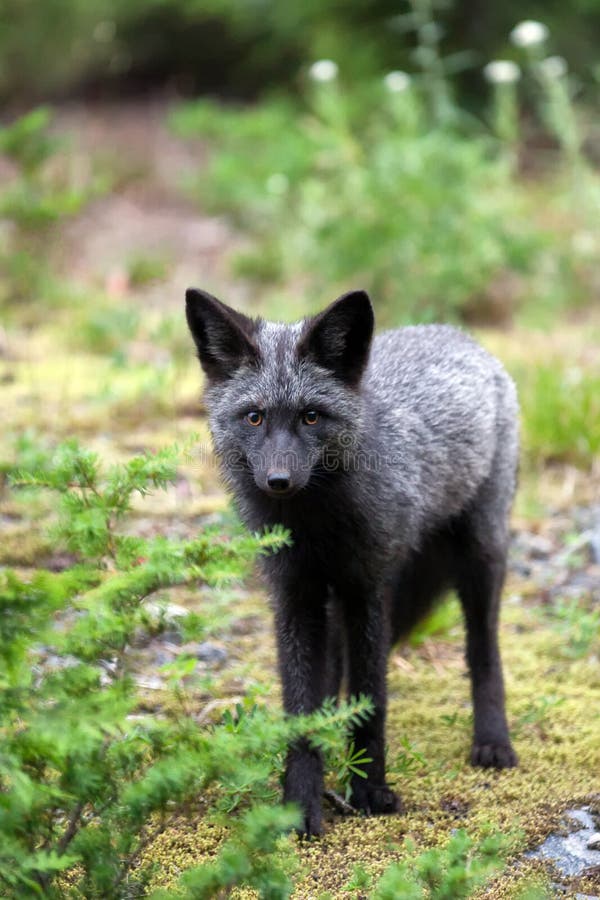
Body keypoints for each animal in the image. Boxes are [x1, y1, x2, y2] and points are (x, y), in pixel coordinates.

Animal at [185, 287, 519, 837]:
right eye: (254, 417)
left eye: (311, 416)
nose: (278, 481)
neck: (316, 526)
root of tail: (458, 335)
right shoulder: (294, 594)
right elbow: (301, 708)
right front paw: (300, 807)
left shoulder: (368, 587)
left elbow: (372, 701)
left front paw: (368, 790)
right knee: (334, 676)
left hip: (480, 554)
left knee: (483, 651)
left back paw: (492, 740)